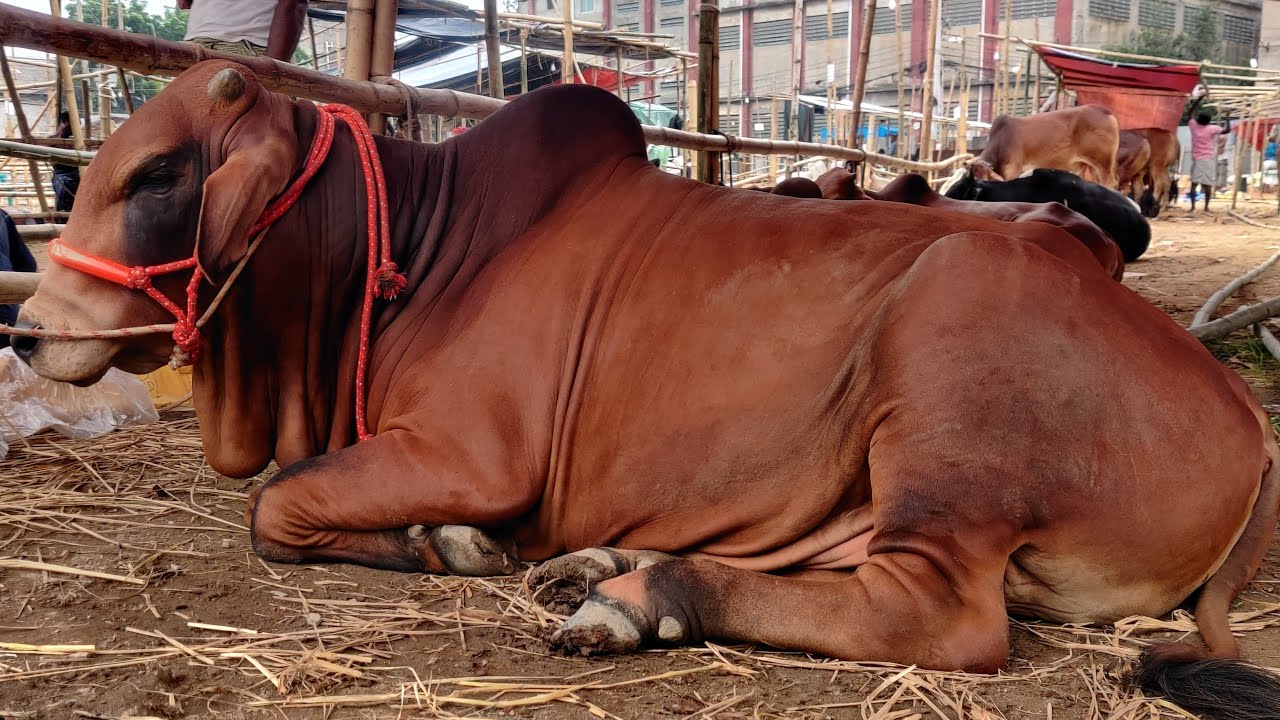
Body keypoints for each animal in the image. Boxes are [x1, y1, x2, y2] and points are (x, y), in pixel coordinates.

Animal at [967, 105, 1121, 188]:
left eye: (982, 180)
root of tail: (1105, 111)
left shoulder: (1013, 171)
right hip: (1089, 167)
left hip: (1103, 164)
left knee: (1110, 183)